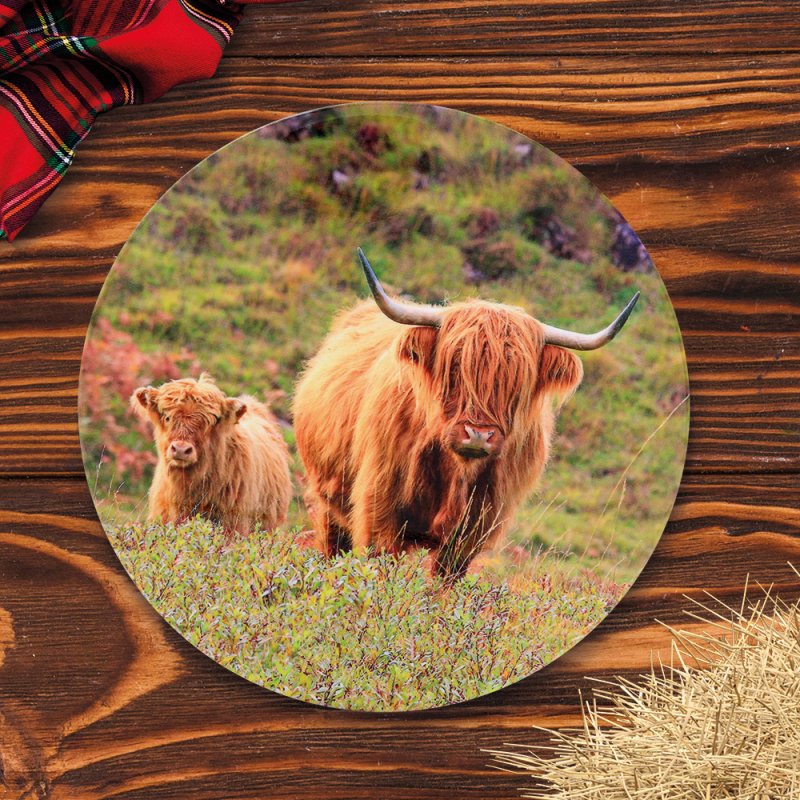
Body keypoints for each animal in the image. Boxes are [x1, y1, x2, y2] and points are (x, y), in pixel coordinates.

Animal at [293, 248, 639, 578]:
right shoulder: (380, 511)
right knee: (333, 547)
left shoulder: (474, 531)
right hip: (328, 498)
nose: (479, 435)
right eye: (454, 367)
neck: (455, 472)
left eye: (517, 380)